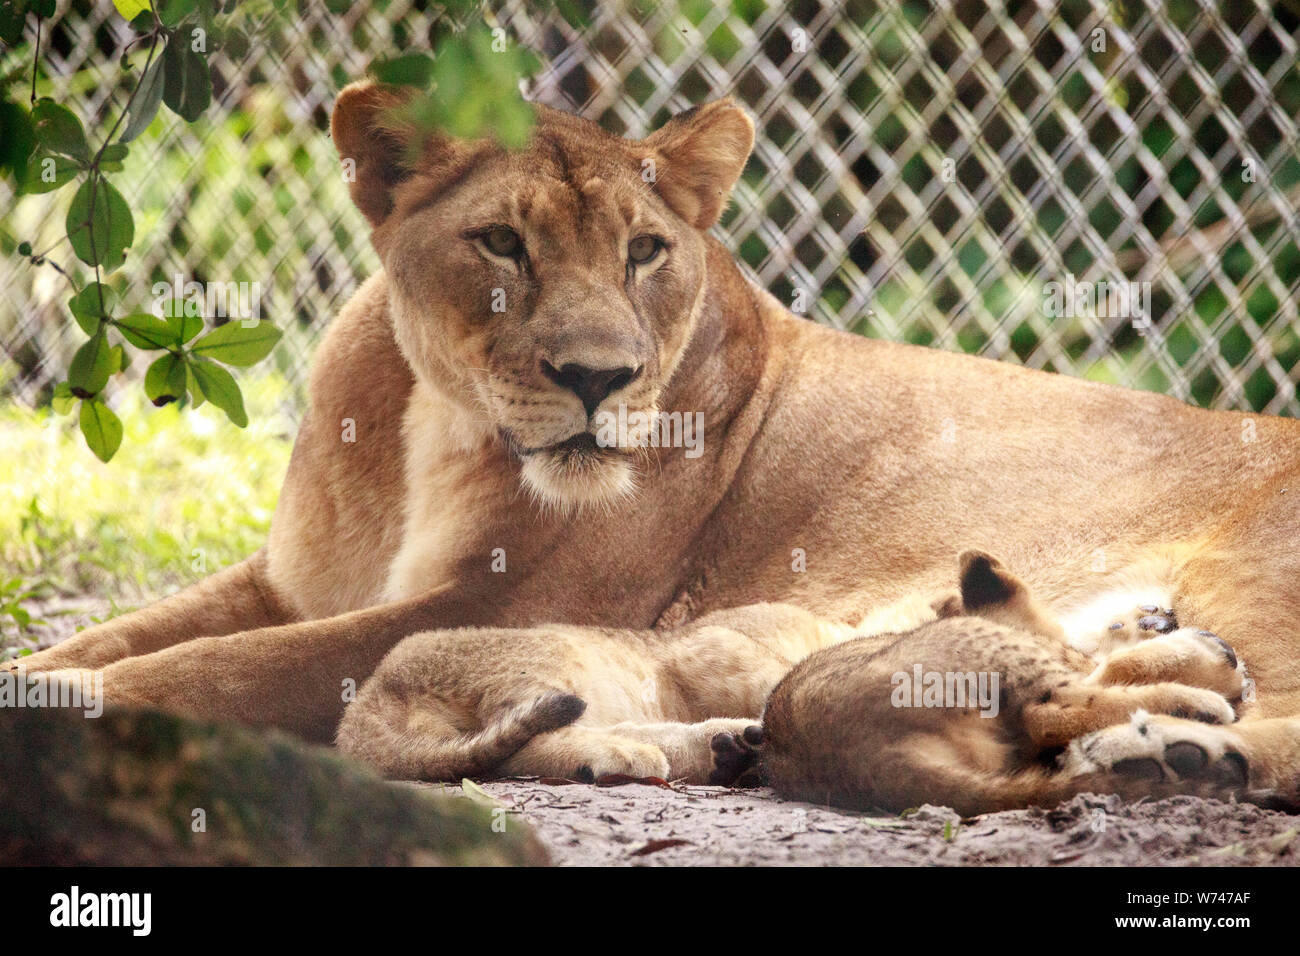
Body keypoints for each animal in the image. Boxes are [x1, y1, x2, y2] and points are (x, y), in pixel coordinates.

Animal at [11, 83, 1300, 809]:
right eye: (500, 243)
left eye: (643, 250)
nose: (598, 377)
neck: (427, 430)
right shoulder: (289, 580)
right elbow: (133, 633)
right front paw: (45, 666)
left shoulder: (500, 605)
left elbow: (208, 672)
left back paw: (1168, 749)